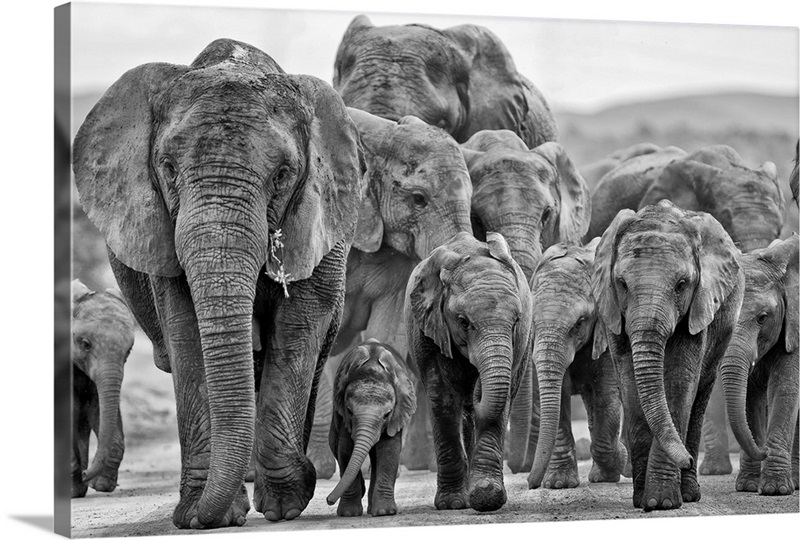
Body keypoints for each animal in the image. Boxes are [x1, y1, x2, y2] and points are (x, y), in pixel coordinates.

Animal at [326, 339, 417, 517]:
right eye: (349, 411)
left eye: (386, 414)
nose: (328, 500)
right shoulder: (343, 415)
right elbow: (345, 449)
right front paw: (349, 514)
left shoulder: (396, 415)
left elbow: (389, 449)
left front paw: (384, 512)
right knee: (335, 445)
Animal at [405, 231, 533, 512]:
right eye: (464, 322)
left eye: (516, 321)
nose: (477, 388)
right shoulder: (427, 331)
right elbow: (442, 398)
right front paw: (452, 503)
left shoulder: (518, 341)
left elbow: (500, 403)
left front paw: (486, 496)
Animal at [523, 240, 628, 490]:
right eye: (533, 323)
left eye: (579, 323)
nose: (530, 484)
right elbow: (559, 397)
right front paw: (558, 484)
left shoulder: (607, 330)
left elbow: (606, 396)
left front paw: (619, 461)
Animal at [591, 200, 745, 511]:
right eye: (622, 283)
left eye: (682, 284)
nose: (687, 458)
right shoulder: (613, 310)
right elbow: (630, 382)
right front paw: (643, 500)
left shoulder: (700, 306)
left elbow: (678, 380)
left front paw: (661, 501)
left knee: (699, 395)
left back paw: (689, 492)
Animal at [720, 234, 799, 495]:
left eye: (762, 318)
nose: (763, 450)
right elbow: (750, 393)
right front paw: (748, 486)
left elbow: (785, 387)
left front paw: (776, 489)